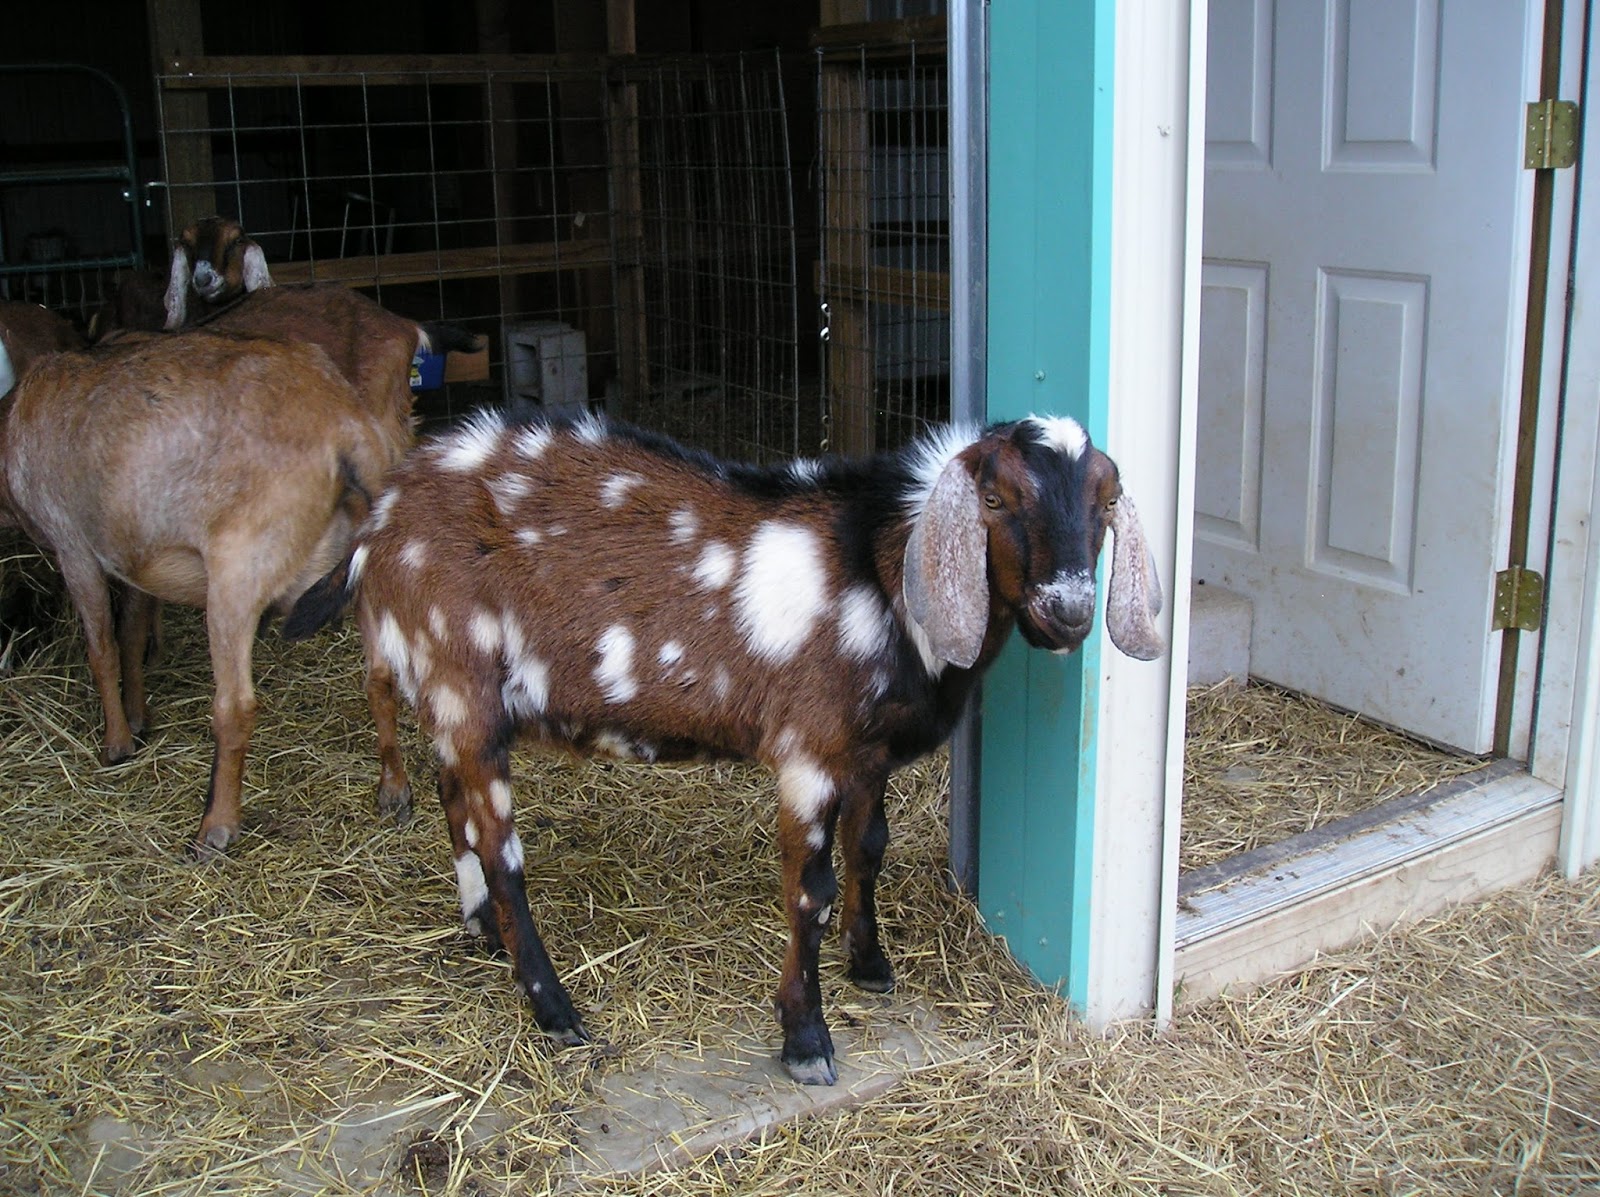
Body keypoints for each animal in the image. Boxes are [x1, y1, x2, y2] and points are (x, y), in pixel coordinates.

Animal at [1, 331, 396, 856]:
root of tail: (347, 424)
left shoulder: (74, 546)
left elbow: (101, 647)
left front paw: (117, 744)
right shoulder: (133, 562)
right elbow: (130, 636)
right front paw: (138, 717)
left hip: (238, 568)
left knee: (235, 706)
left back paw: (215, 828)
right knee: (381, 677)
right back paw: (394, 791)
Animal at [284, 407, 1165, 1084]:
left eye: (1105, 499)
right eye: (994, 494)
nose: (1068, 610)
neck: (877, 569)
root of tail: (380, 518)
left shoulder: (867, 753)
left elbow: (870, 847)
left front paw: (871, 965)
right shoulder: (810, 749)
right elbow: (809, 889)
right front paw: (805, 1039)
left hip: (452, 702)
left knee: (452, 798)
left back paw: (481, 927)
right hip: (457, 677)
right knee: (503, 851)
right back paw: (554, 1008)